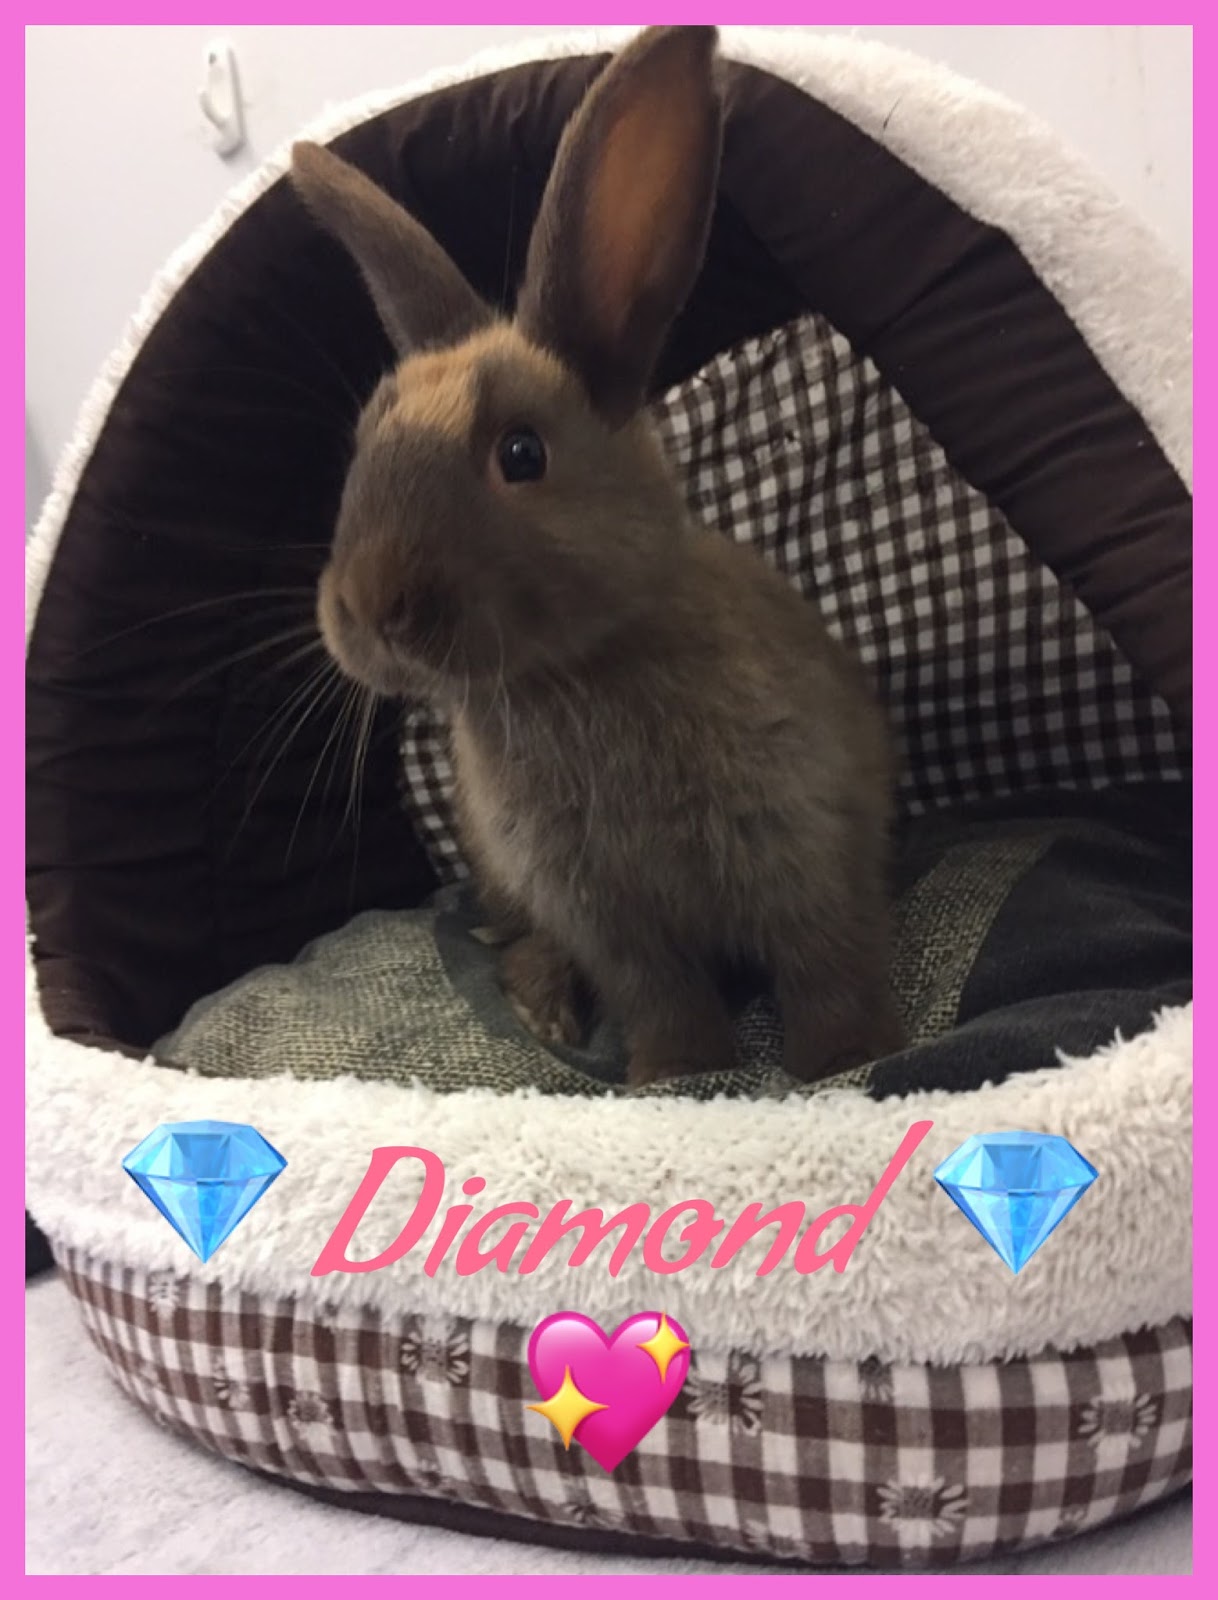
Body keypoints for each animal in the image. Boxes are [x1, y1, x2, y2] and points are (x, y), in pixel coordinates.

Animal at [290, 24, 905, 1089]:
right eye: (365, 444)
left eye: (521, 454)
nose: (370, 609)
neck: (574, 671)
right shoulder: (602, 914)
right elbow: (661, 993)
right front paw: (673, 1075)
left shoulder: (803, 844)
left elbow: (823, 960)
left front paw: (847, 1061)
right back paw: (542, 1009)